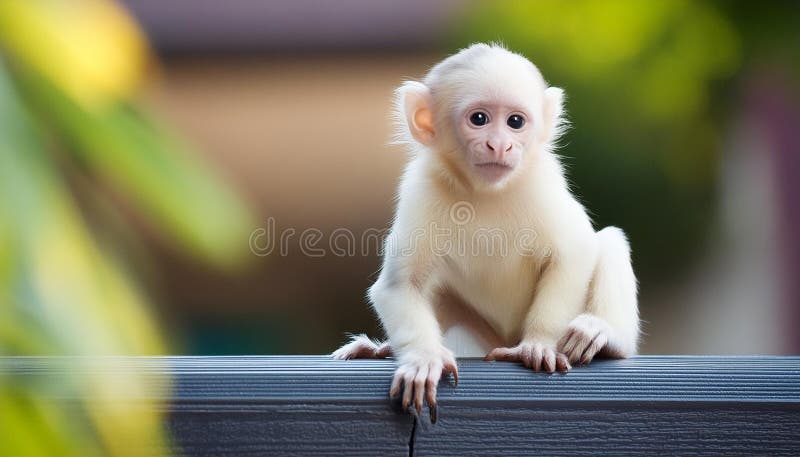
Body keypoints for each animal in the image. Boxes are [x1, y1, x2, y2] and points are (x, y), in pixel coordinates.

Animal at [332, 43, 639, 423]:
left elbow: (575, 251)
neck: (485, 192)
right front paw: (423, 360)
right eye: (479, 119)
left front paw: (539, 344)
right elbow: (401, 286)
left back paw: (606, 336)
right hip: (482, 337)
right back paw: (382, 349)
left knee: (609, 241)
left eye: (515, 122)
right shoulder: (421, 188)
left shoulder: (543, 183)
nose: (499, 145)